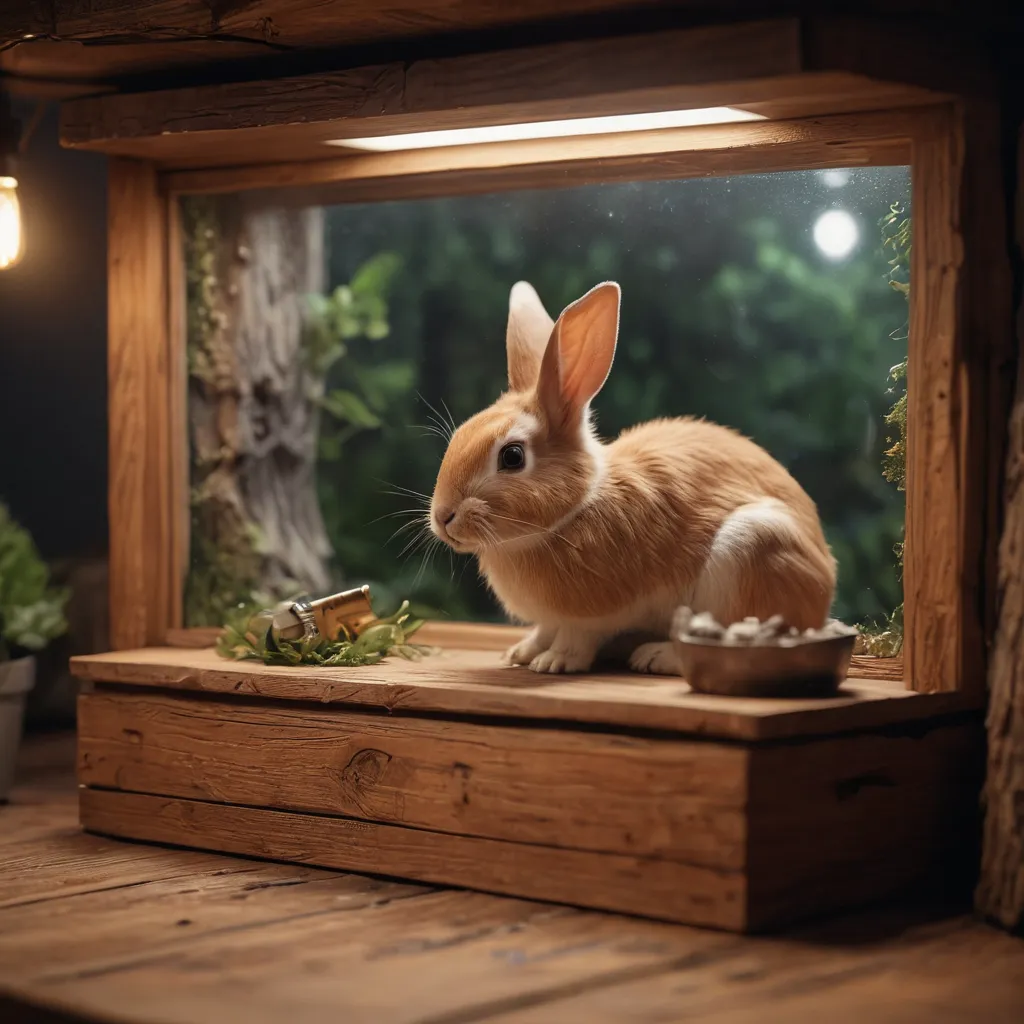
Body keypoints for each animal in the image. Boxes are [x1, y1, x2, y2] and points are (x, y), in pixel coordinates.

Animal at [429, 280, 837, 675]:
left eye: (512, 457)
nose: (443, 517)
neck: (572, 511)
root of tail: (824, 588)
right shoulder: (551, 617)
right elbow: (545, 629)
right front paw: (522, 653)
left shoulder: (596, 613)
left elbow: (576, 636)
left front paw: (555, 662)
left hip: (752, 548)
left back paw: (656, 656)